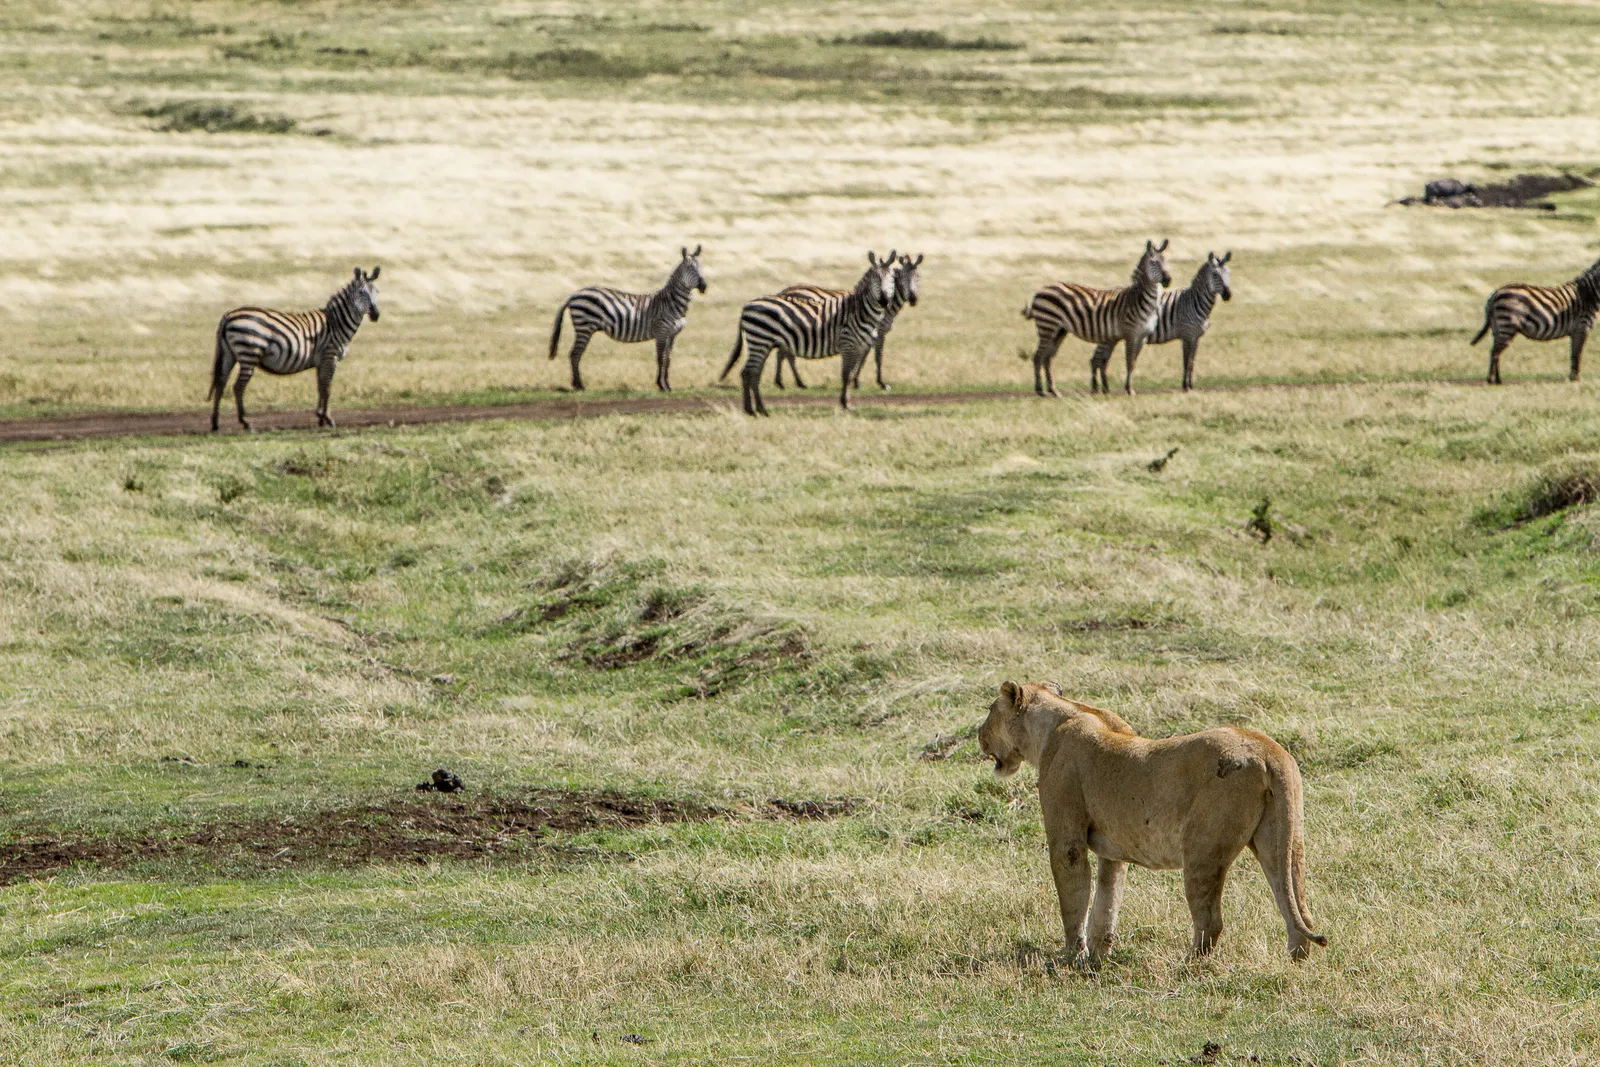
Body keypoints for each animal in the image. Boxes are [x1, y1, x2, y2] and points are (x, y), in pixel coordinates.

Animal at [979, 681, 1326, 966]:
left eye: (989, 711)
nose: (979, 737)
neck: (1060, 718)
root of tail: (1269, 750)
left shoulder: (1068, 841)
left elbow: (1074, 901)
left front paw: (1071, 957)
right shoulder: (1112, 851)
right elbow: (1106, 903)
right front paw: (1097, 958)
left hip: (1203, 850)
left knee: (1211, 920)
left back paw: (1187, 967)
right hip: (1283, 839)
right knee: (1298, 907)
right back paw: (1294, 963)